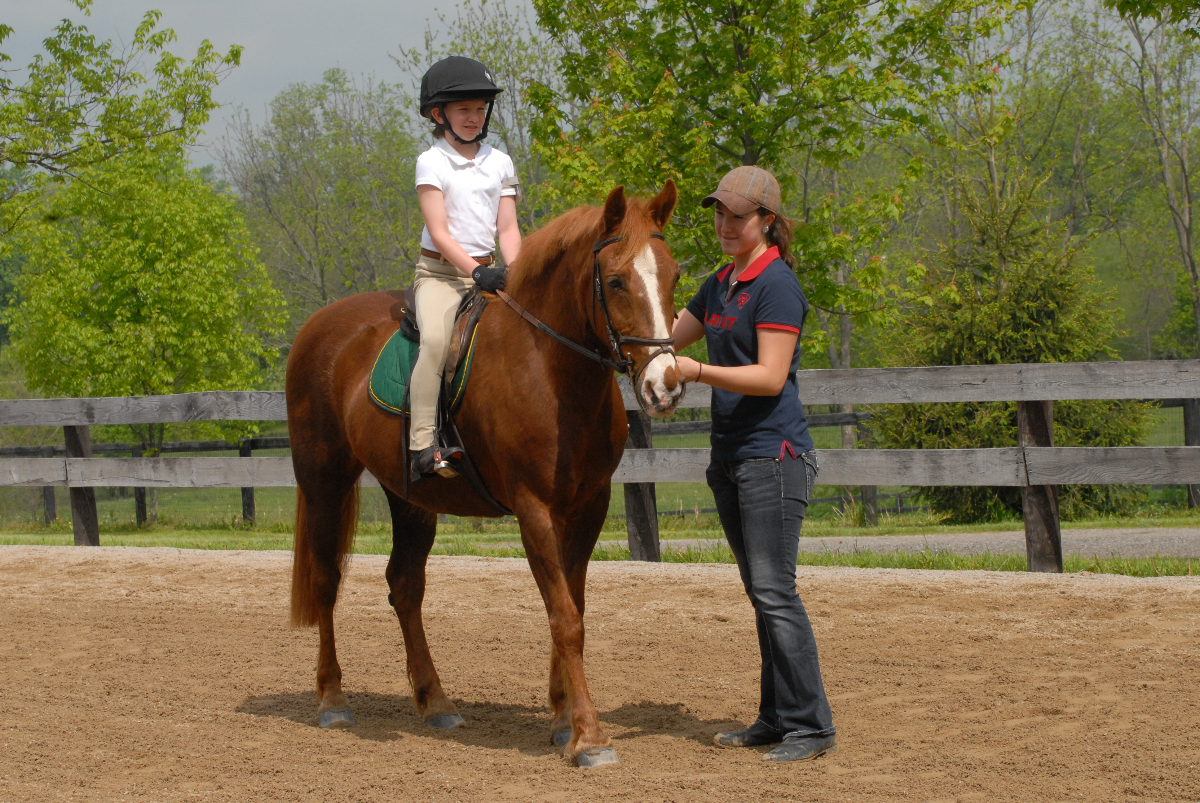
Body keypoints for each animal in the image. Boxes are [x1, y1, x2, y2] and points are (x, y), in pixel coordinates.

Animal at [285, 181, 683, 767]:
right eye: (614, 281)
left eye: (674, 275)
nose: (666, 386)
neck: (552, 370)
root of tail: (317, 326)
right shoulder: (533, 509)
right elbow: (565, 618)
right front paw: (589, 736)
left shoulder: (588, 506)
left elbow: (574, 608)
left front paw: (562, 721)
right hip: (324, 480)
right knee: (327, 582)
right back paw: (332, 700)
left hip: (410, 498)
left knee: (404, 586)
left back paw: (435, 702)